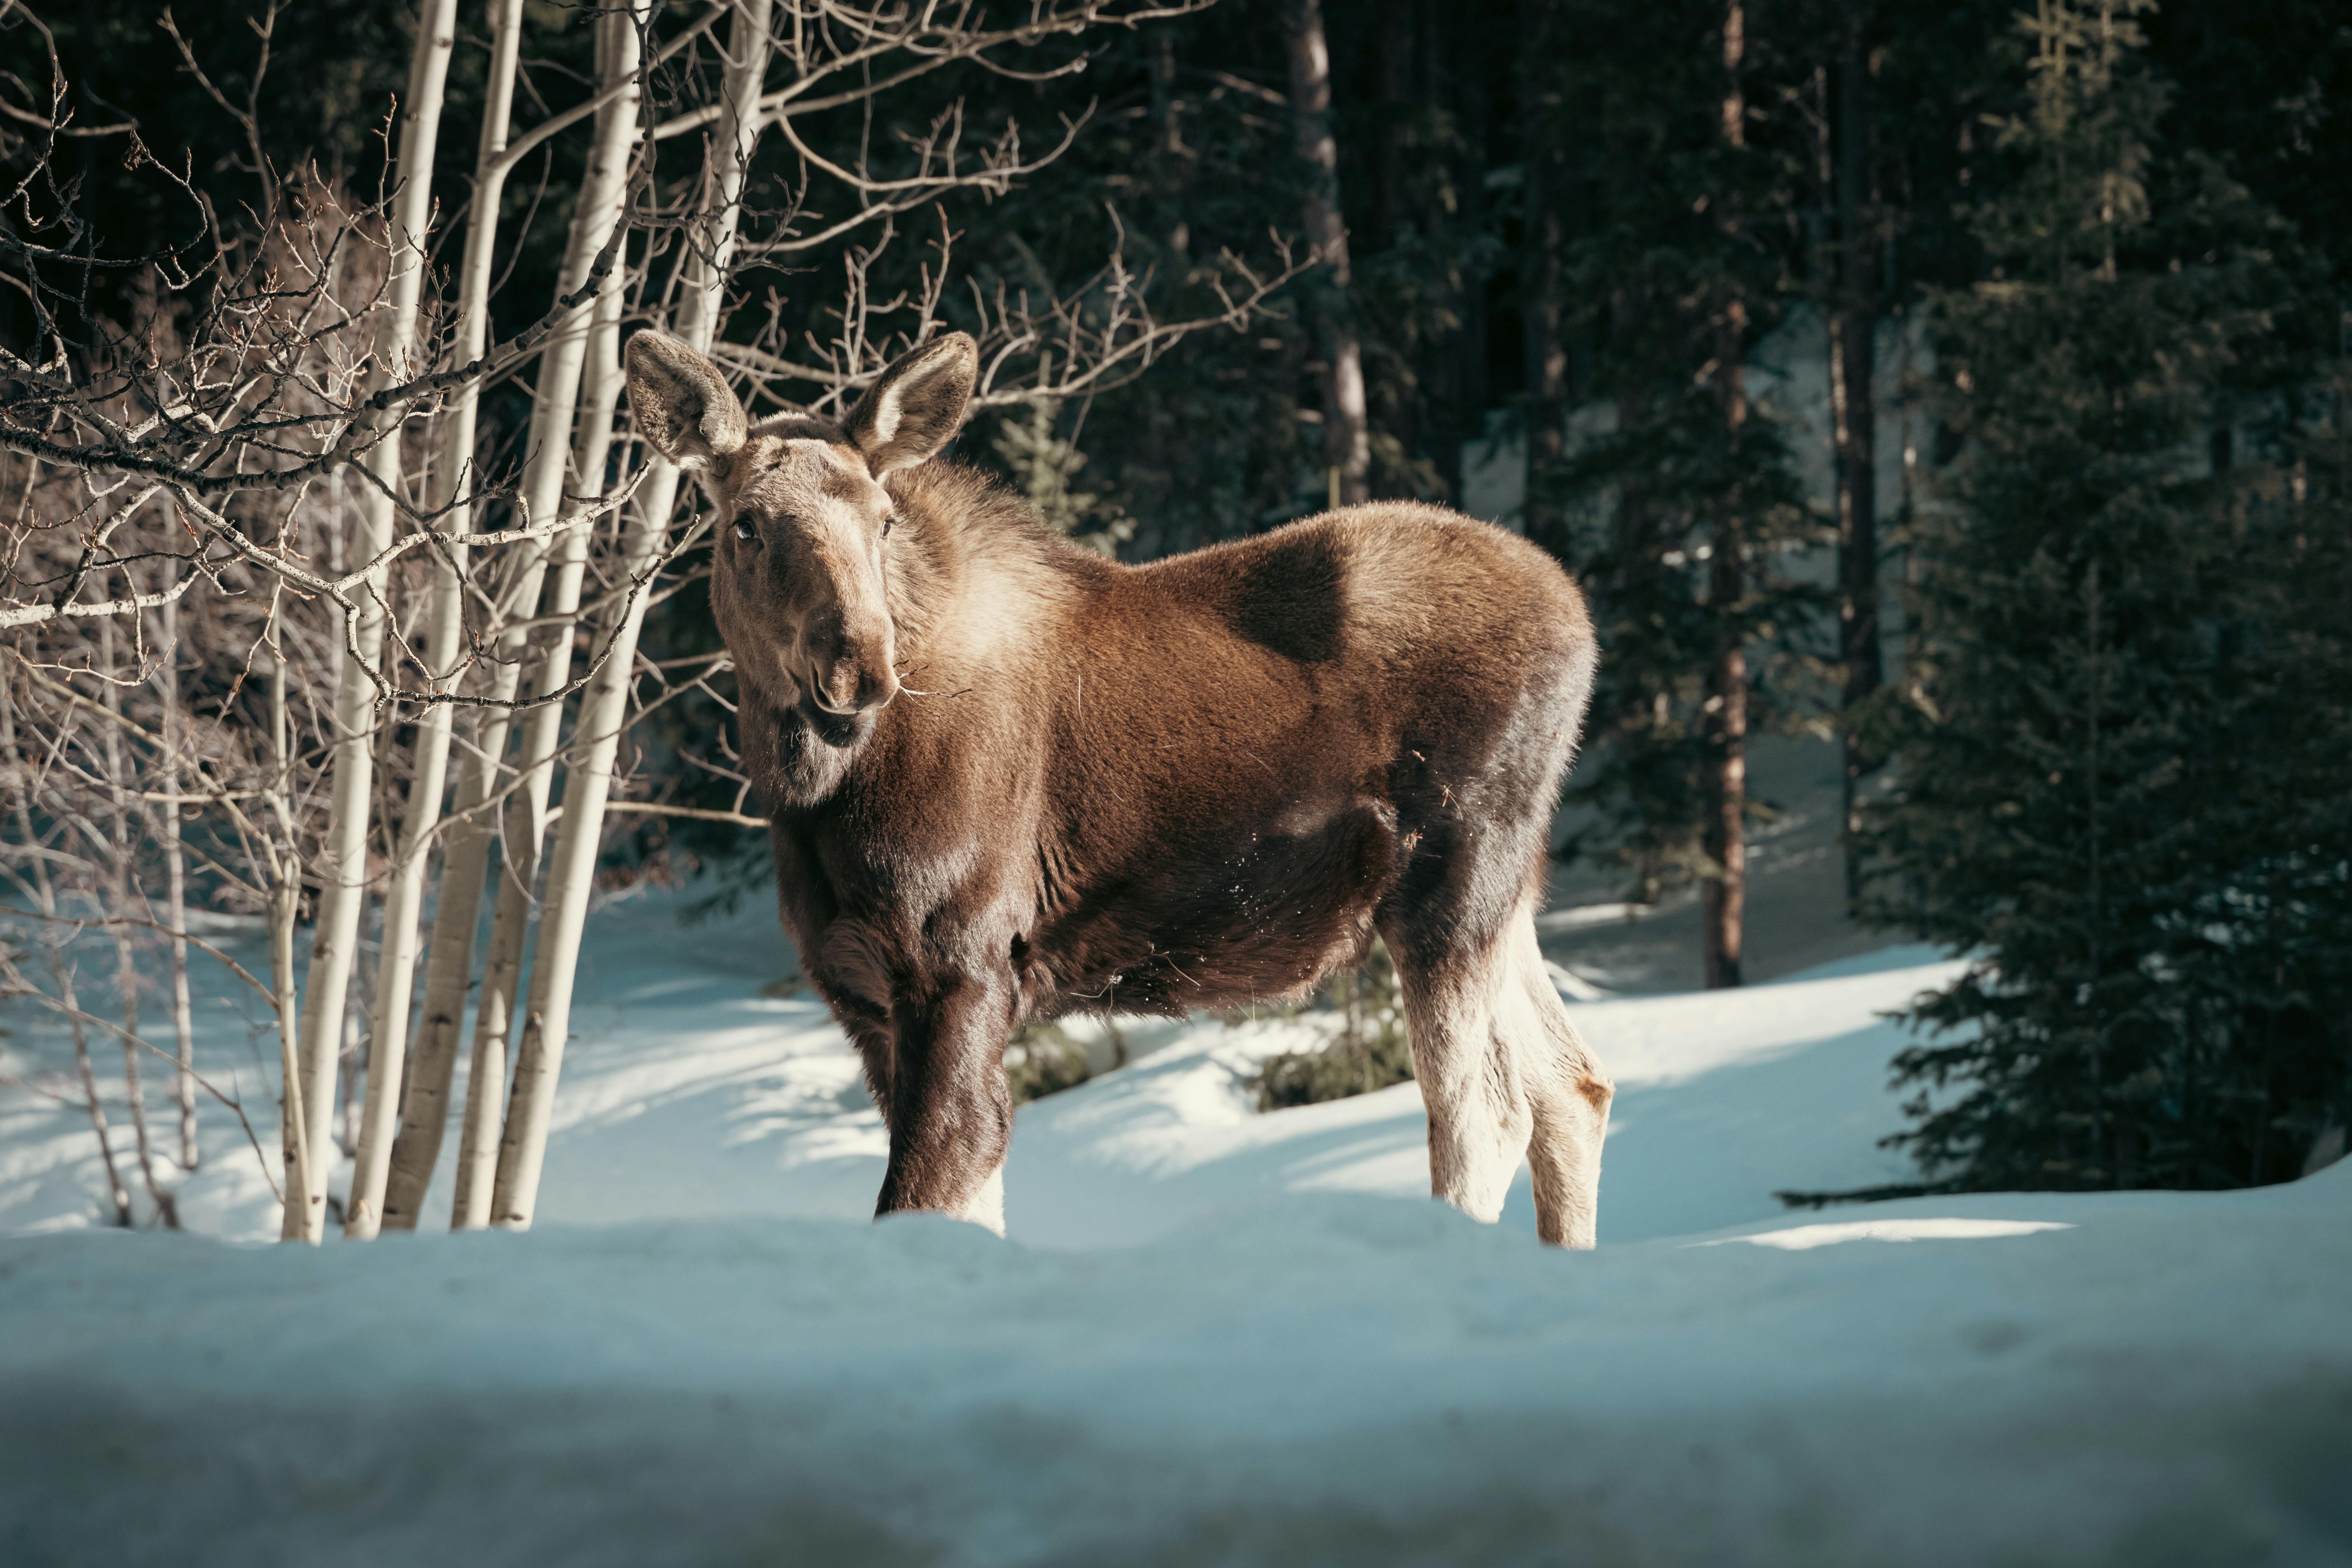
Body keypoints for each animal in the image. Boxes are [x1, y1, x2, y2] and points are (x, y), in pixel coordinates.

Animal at [622, 329, 1615, 1246]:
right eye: (745, 524)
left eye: (883, 520)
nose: (858, 667)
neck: (812, 799)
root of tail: (1582, 618)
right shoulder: (862, 990)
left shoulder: (964, 962)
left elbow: (932, 1181)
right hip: (1500, 893)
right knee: (1572, 1085)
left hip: (1451, 875)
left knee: (1484, 1111)